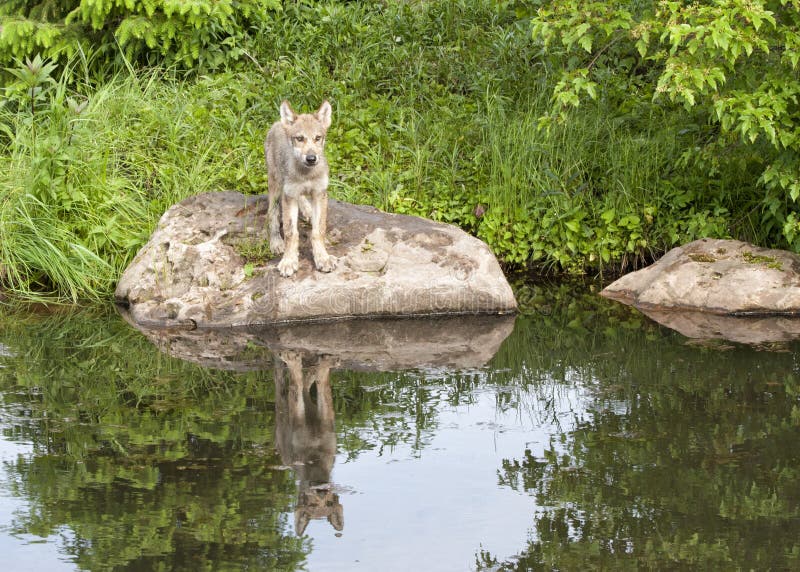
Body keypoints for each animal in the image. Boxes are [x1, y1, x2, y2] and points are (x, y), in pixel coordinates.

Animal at [265, 100, 336, 277]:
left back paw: (307, 210)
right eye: (299, 138)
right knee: (272, 214)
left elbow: (318, 231)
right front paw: (289, 261)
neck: (306, 175)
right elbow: (291, 232)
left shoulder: (319, 194)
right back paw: (276, 242)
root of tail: (278, 123)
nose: (311, 158)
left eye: (318, 138)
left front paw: (323, 258)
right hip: (276, 187)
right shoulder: (289, 196)